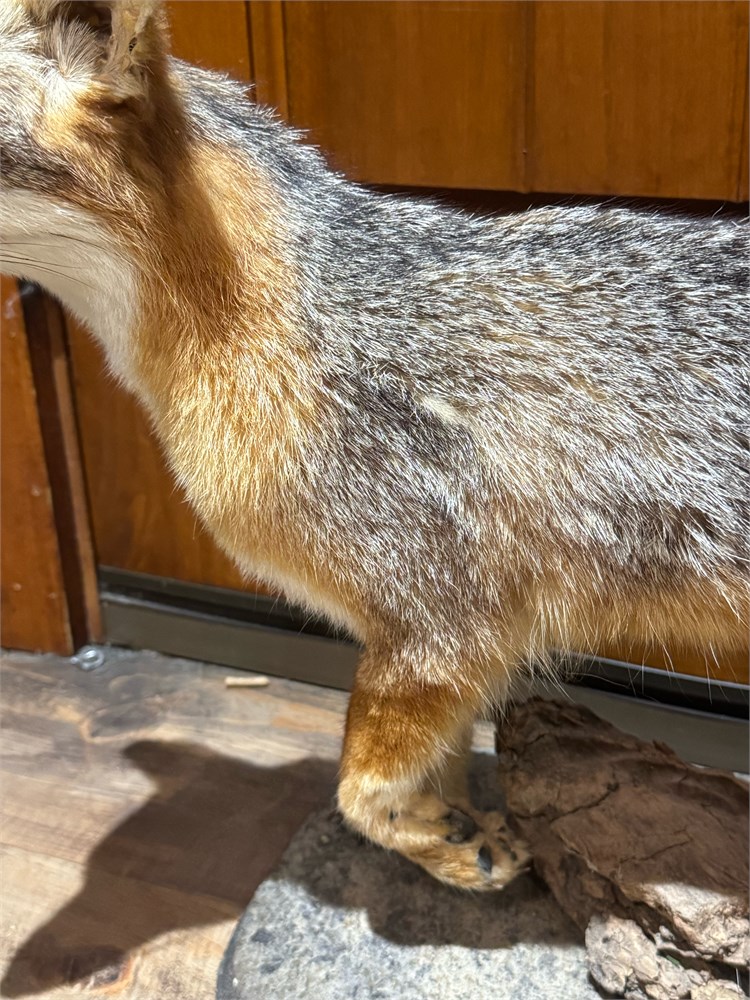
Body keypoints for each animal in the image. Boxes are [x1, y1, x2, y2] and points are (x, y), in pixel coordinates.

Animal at [1, 0, 747, 891]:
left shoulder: (439, 628)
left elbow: (361, 794)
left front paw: (457, 849)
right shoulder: (450, 653)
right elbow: (440, 765)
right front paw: (463, 828)